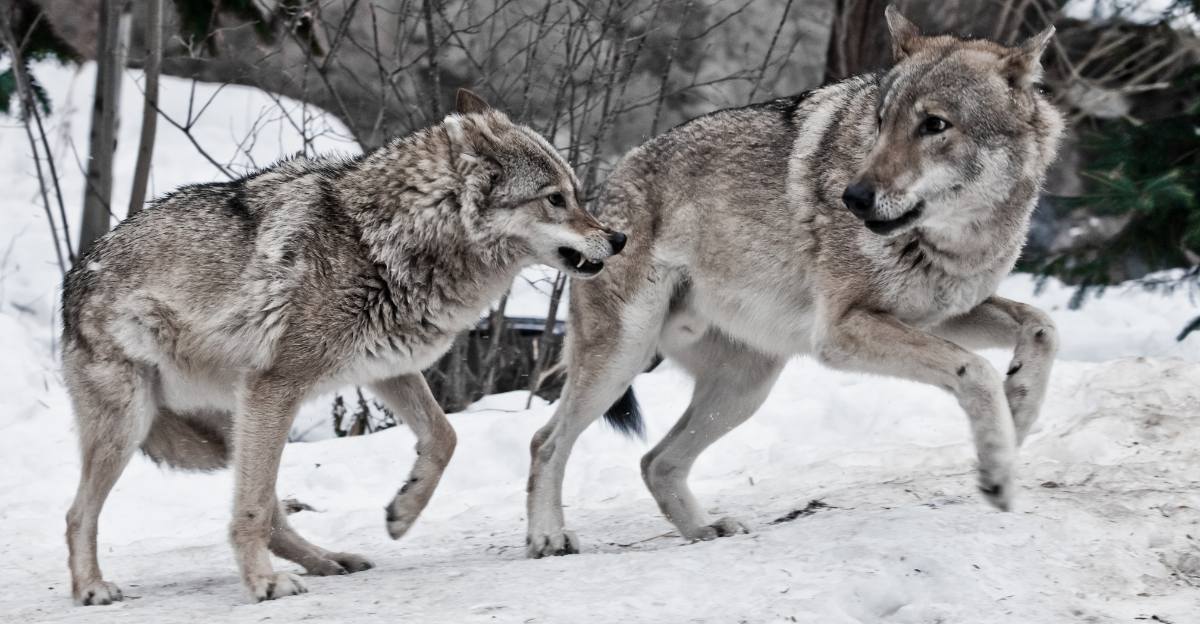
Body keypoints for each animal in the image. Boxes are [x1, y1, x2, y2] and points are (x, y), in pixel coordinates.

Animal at [62, 89, 625, 604]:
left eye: (577, 193)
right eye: (555, 198)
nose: (618, 239)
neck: (381, 240)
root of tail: (73, 279)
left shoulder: (385, 367)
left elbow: (444, 437)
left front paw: (403, 512)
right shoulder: (277, 385)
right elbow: (249, 507)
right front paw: (262, 584)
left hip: (233, 422)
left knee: (271, 513)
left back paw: (328, 560)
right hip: (138, 426)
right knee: (77, 514)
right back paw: (92, 588)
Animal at [524, 7, 1065, 558]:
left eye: (934, 125)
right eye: (881, 122)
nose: (854, 197)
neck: (953, 241)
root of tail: (602, 192)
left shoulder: (937, 315)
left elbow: (1042, 325)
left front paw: (1018, 414)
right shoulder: (841, 331)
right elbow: (975, 368)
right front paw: (998, 469)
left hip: (745, 389)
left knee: (656, 461)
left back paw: (703, 530)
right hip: (625, 357)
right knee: (546, 441)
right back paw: (548, 536)